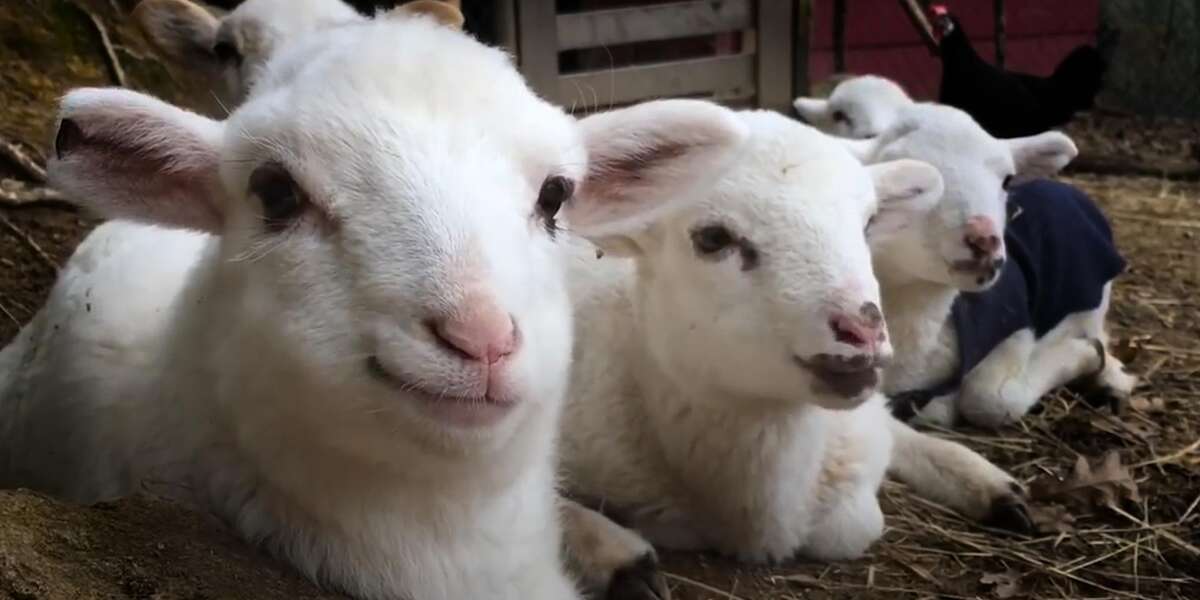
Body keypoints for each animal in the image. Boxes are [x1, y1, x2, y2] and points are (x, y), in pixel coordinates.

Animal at [838, 103, 1135, 428]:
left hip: (1096, 293)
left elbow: (990, 400)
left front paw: (1083, 354)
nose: (984, 239)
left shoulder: (1016, 325)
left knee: (1096, 329)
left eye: (1007, 180)